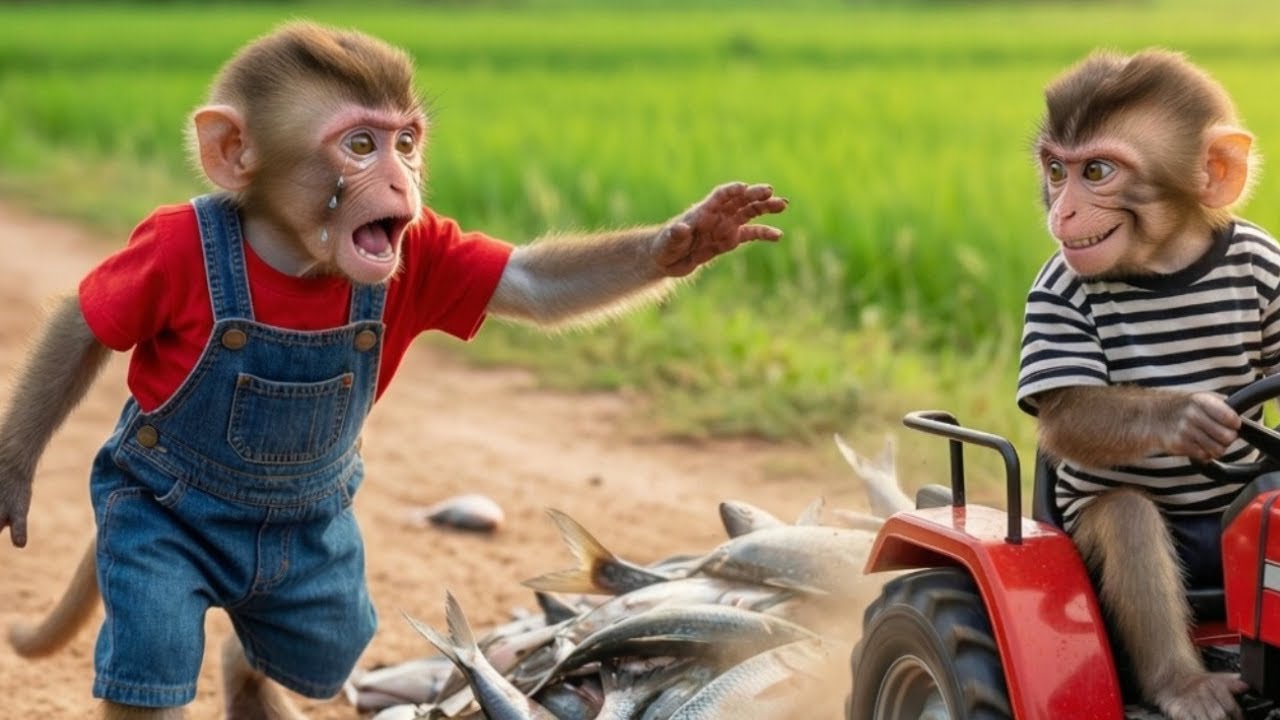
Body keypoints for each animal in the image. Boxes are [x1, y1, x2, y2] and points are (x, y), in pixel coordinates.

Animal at [0, 21, 787, 720]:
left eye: (405, 142)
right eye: (359, 145)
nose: (402, 176)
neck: (293, 259)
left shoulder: (429, 246)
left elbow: (529, 284)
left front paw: (696, 234)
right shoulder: (162, 251)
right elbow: (81, 322)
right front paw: (13, 481)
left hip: (319, 601)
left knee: (311, 645)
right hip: (144, 513)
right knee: (161, 633)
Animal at [1018, 49, 1277, 720]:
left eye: (1097, 171)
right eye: (1057, 170)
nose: (1061, 211)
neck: (1166, 265)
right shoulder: (1055, 287)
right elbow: (1066, 410)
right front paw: (1186, 417)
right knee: (1127, 516)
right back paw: (1184, 686)